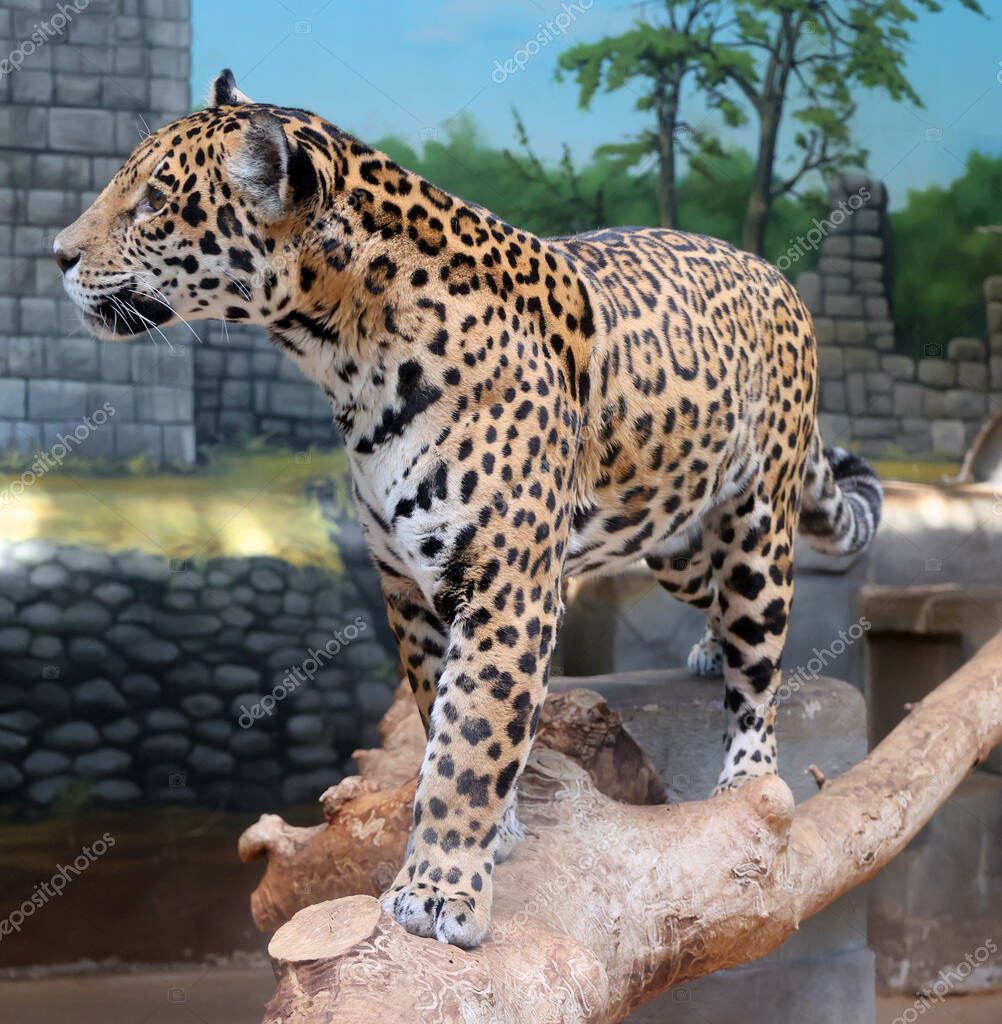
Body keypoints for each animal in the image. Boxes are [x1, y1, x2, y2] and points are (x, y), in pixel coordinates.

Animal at [54, 69, 882, 949]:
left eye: (152, 200)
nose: (57, 253)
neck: (344, 359)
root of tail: (774, 274)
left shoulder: (505, 587)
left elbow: (472, 737)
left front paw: (439, 889)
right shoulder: (406, 584)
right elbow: (437, 714)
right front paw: (496, 829)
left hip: (756, 524)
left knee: (760, 658)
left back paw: (746, 773)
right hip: (673, 537)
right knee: (712, 597)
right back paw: (707, 649)